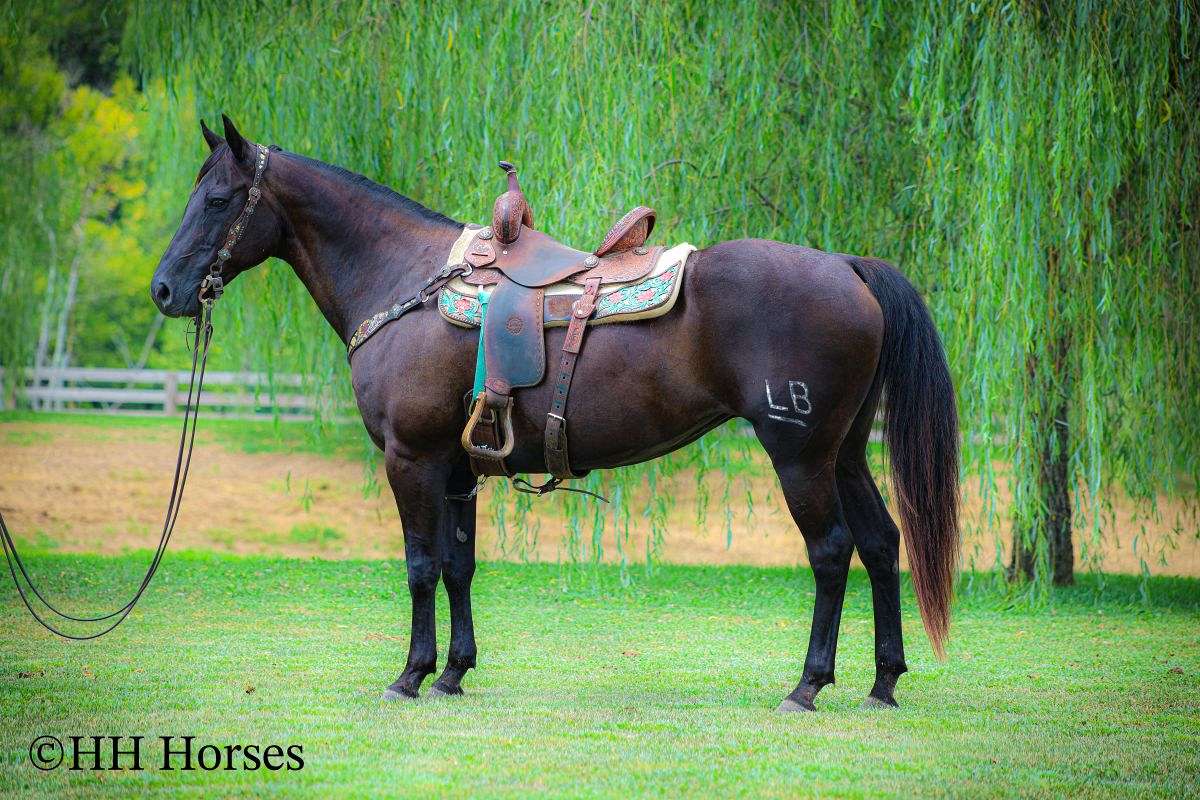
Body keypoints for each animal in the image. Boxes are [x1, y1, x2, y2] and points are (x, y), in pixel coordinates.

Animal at [150, 116, 959, 712]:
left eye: (217, 199)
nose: (163, 290)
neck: (407, 280)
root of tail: (848, 266)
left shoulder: (411, 459)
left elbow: (419, 566)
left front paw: (410, 674)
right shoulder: (459, 469)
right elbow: (458, 566)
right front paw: (454, 672)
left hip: (800, 455)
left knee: (832, 550)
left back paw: (808, 684)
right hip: (844, 452)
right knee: (882, 543)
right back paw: (883, 682)